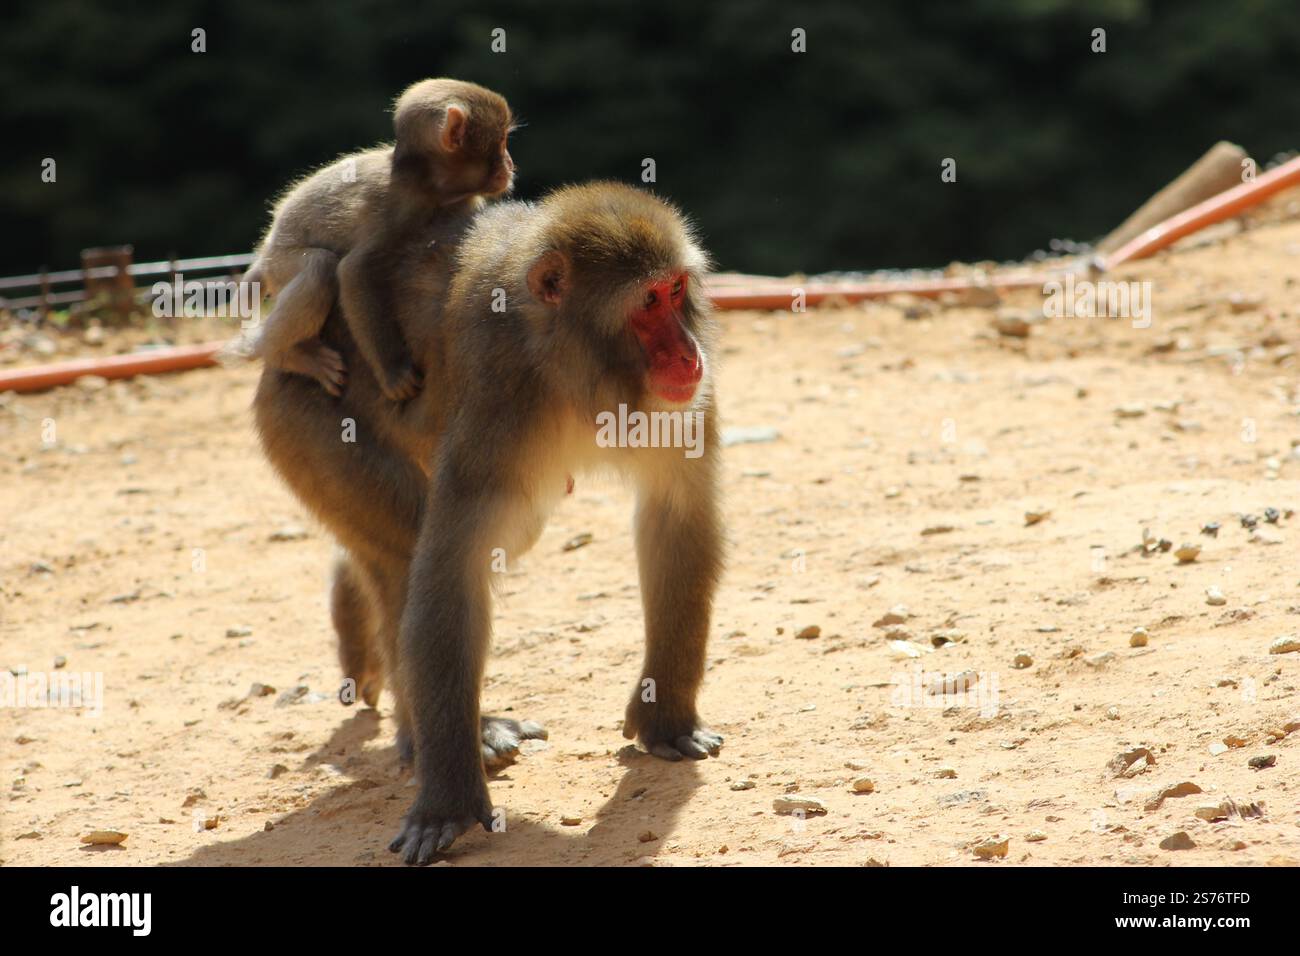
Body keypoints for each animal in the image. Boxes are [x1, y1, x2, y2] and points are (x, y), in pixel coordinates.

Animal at [227, 78, 515, 400]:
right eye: (502, 141)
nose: (510, 162)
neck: (427, 184)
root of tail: (266, 250)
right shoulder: (392, 206)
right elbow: (353, 271)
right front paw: (394, 372)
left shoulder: (461, 202)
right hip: (281, 263)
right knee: (319, 267)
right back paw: (286, 354)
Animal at [252, 181, 723, 864]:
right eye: (648, 302)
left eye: (678, 291)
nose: (689, 355)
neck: (568, 370)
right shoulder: (497, 394)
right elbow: (452, 573)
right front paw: (447, 804)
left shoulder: (679, 405)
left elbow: (677, 518)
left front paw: (667, 718)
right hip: (306, 420)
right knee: (404, 556)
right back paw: (436, 733)